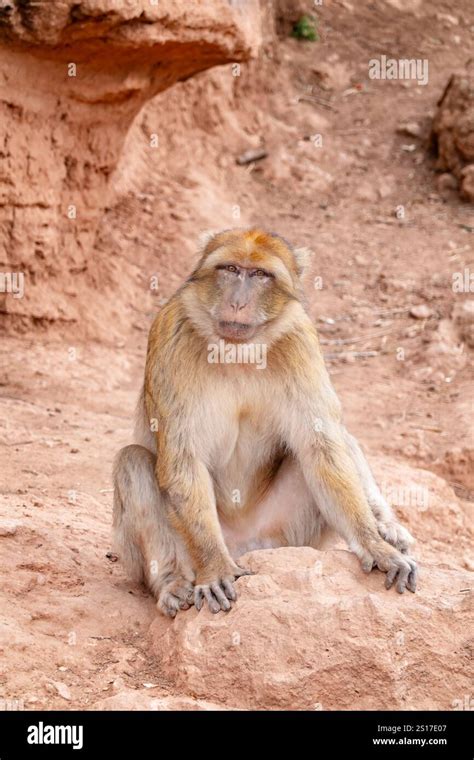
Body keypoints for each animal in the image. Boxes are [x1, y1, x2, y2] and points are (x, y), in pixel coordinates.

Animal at [113, 228, 417, 617]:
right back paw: (172, 583)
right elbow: (182, 459)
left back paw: (385, 526)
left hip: (284, 537)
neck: (236, 350)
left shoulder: (300, 339)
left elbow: (321, 447)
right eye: (230, 268)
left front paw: (375, 545)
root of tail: (244, 545)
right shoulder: (171, 335)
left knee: (331, 441)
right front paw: (215, 568)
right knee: (133, 461)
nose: (238, 303)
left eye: (260, 275)